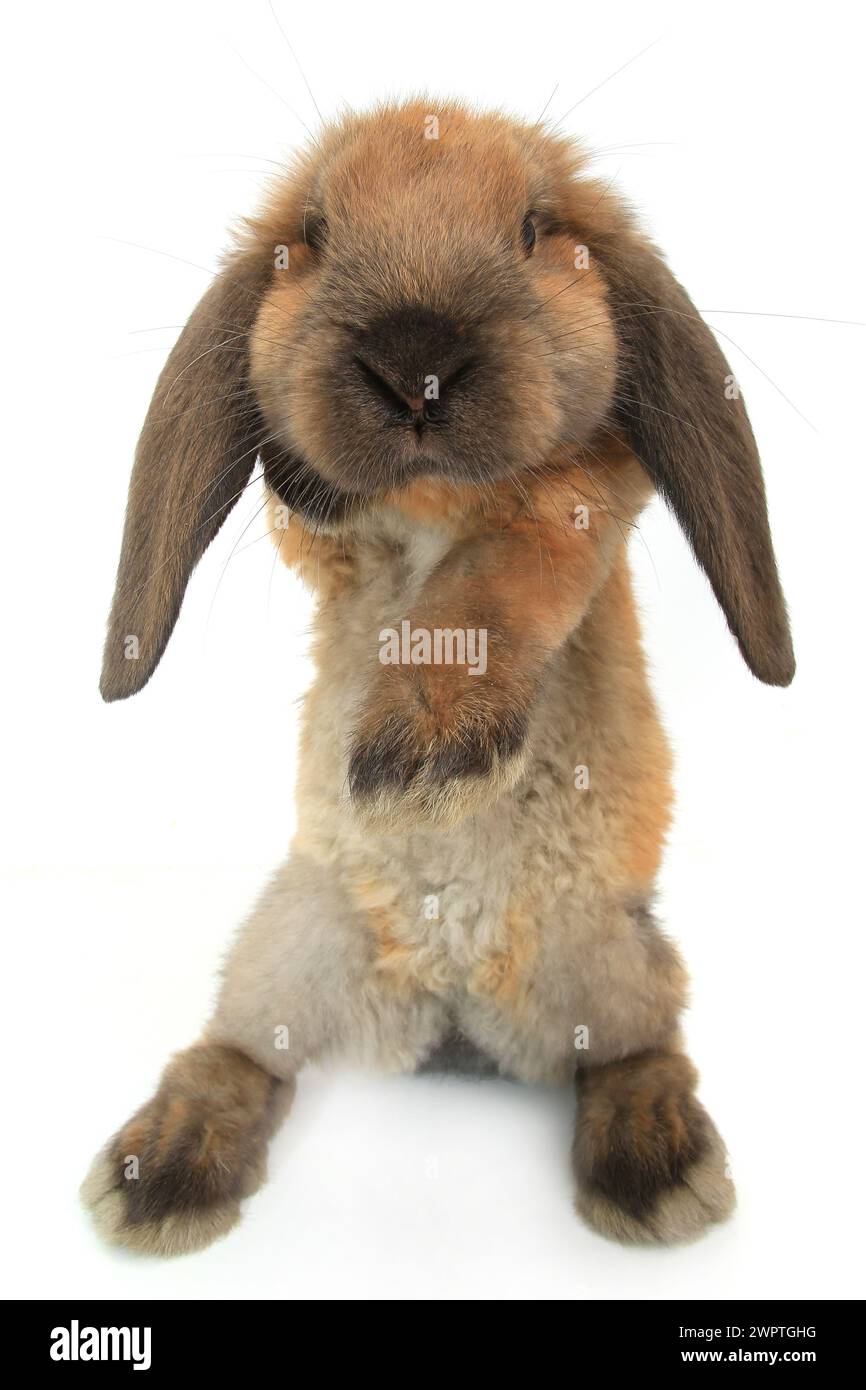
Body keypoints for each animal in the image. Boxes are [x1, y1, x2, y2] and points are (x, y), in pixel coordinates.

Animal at [81, 98, 794, 1256]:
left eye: (535, 227)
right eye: (312, 236)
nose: (412, 362)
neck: (429, 504)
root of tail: (452, 1005)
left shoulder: (580, 507)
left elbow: (504, 563)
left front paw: (421, 754)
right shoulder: (339, 548)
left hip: (612, 954)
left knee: (637, 1050)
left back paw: (654, 1161)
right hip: (285, 948)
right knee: (240, 1054)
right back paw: (165, 1167)